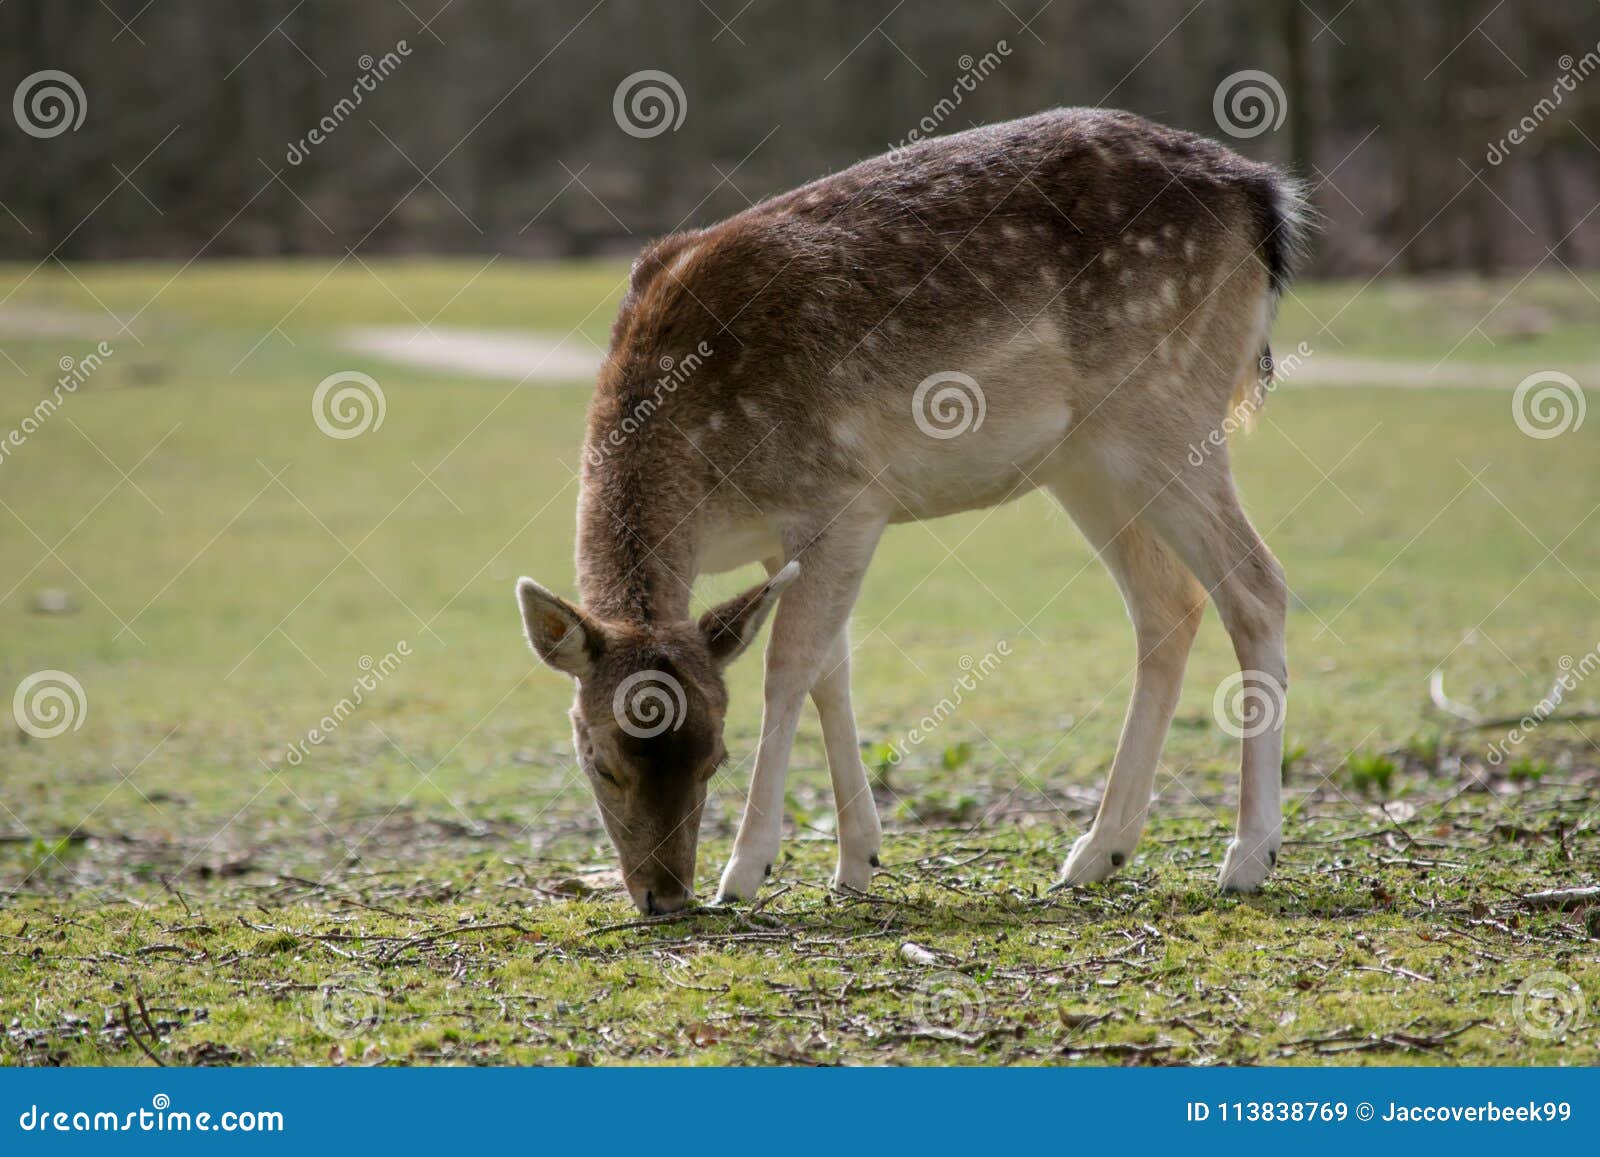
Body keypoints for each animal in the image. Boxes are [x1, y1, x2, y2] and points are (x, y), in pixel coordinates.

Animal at [516, 107, 1309, 915]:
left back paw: (1248, 856)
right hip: (1089, 460)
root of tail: (1263, 195)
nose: (666, 895)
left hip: (1167, 410)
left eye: (716, 756)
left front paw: (747, 870)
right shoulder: (781, 537)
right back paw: (1097, 853)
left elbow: (788, 667)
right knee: (1169, 604)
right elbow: (831, 669)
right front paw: (857, 859)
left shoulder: (842, 499)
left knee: (1258, 585)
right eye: (599, 760)